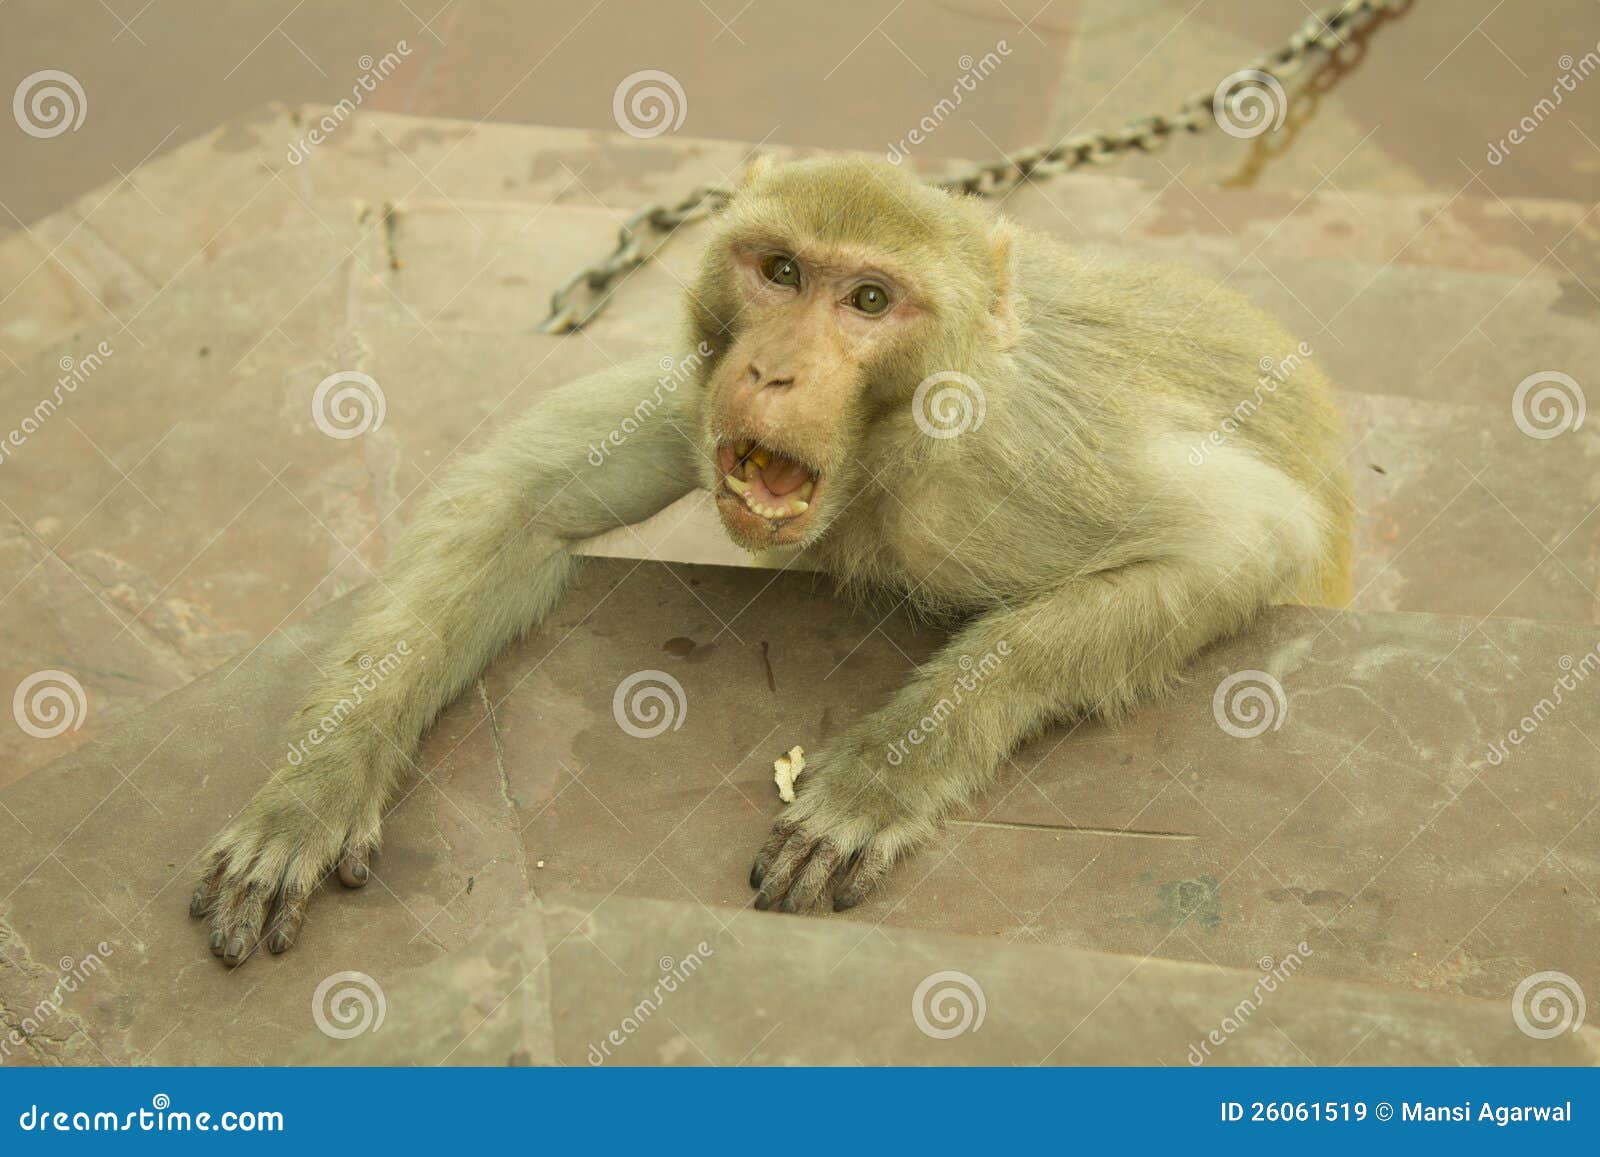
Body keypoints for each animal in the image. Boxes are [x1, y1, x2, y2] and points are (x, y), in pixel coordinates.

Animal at [191, 154, 1351, 965]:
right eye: (781, 271)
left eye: (869, 300)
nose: (775, 372)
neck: (881, 462)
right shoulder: (697, 400)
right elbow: (513, 500)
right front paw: (313, 789)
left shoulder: (1009, 463)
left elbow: (1246, 536)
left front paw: (884, 770)